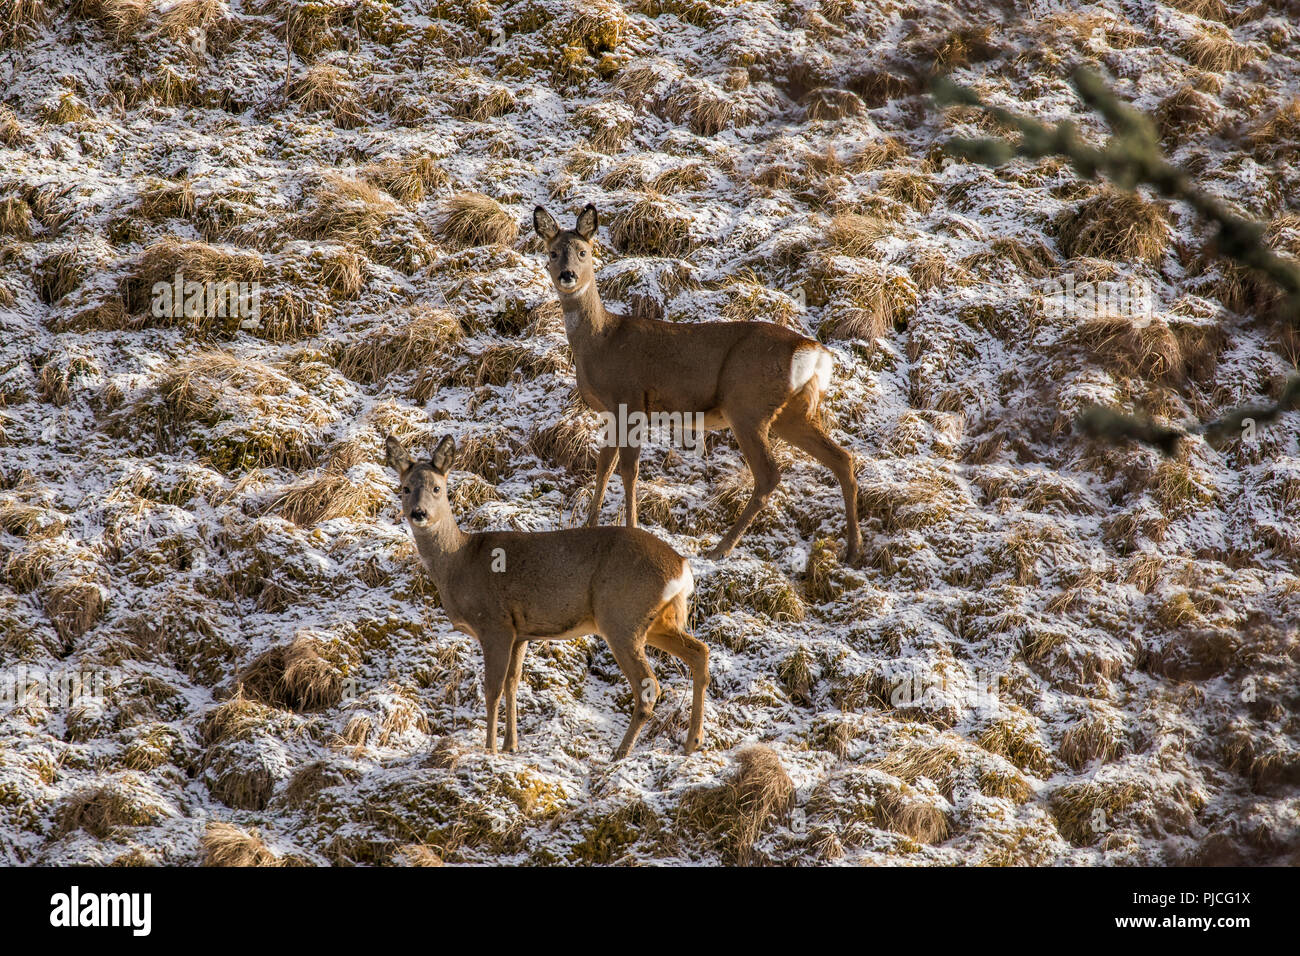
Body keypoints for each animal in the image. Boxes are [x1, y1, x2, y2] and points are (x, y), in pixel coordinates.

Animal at [384, 433, 709, 760]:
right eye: (405, 488)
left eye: (437, 488)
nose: (419, 513)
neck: (459, 561)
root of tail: (681, 567)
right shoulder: (521, 633)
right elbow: (513, 684)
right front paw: (511, 745)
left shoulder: (495, 624)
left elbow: (492, 689)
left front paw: (489, 749)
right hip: (656, 621)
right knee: (700, 652)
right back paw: (692, 742)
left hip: (622, 616)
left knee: (649, 686)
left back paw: (621, 753)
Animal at [534, 203, 861, 563]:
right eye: (552, 252)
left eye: (583, 252)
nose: (567, 275)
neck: (601, 340)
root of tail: (815, 352)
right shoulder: (609, 411)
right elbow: (604, 464)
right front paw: (590, 526)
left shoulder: (630, 400)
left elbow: (629, 470)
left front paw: (631, 529)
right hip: (791, 413)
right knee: (842, 458)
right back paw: (853, 549)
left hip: (747, 405)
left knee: (769, 474)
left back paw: (721, 548)